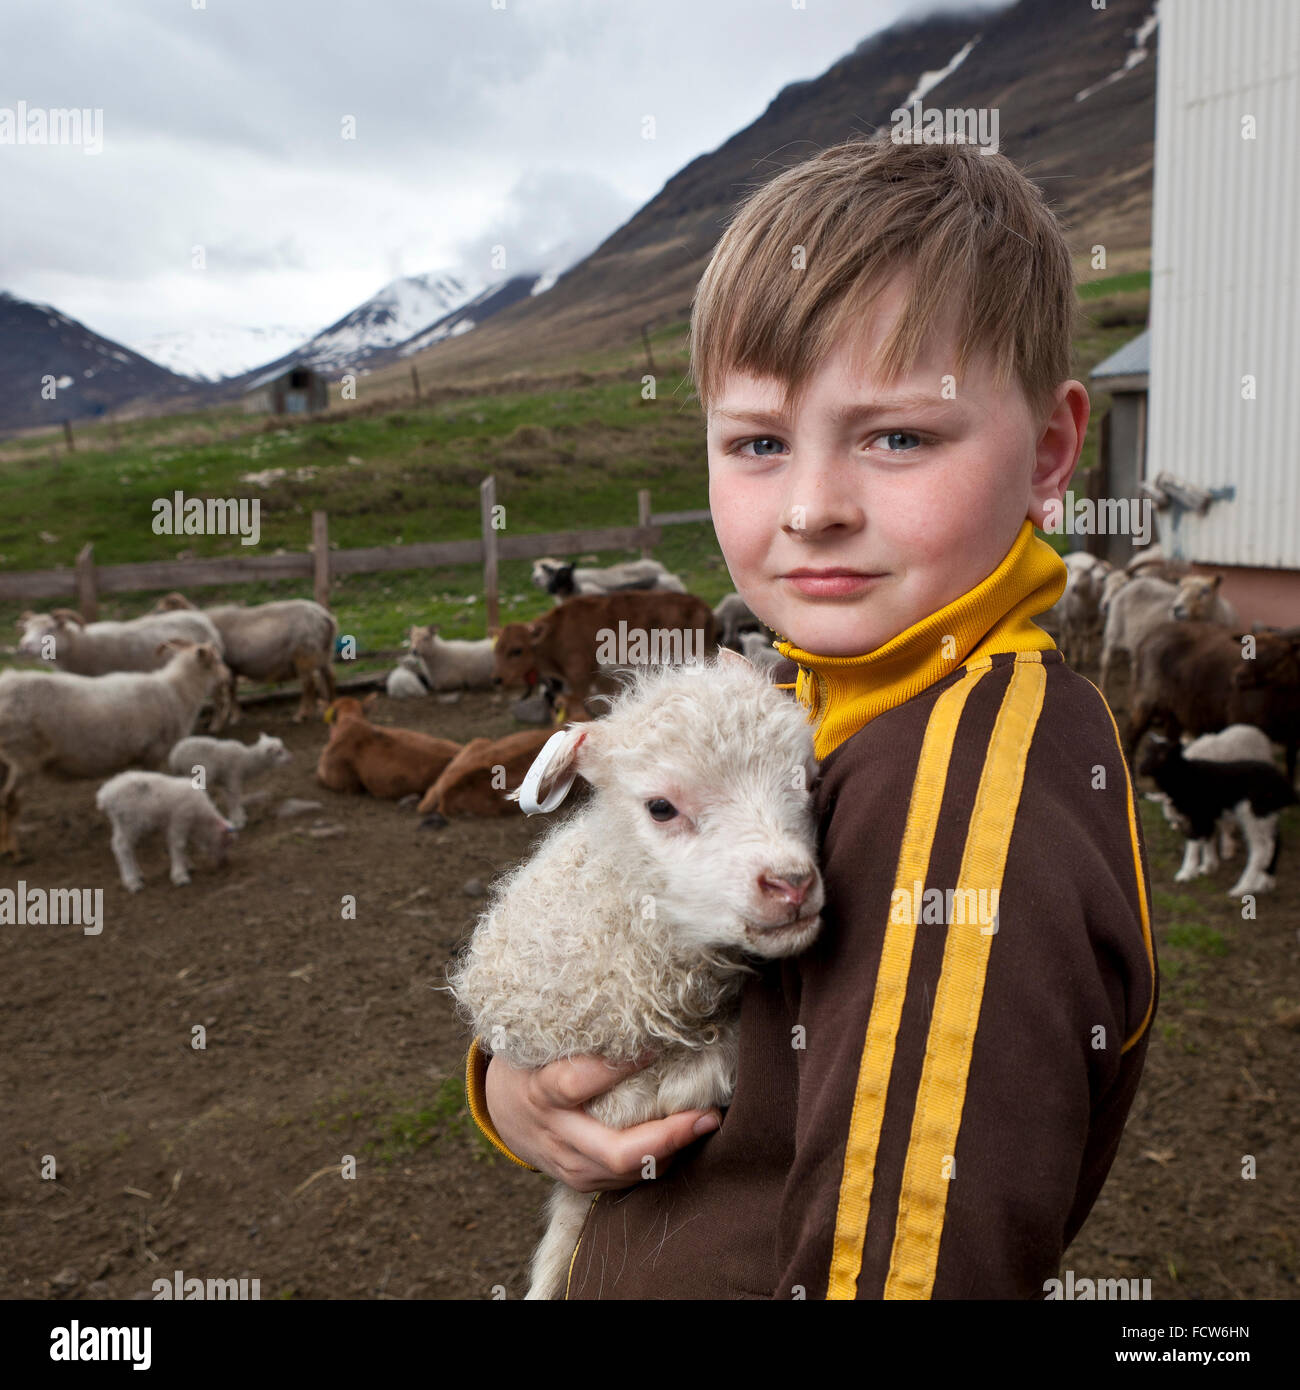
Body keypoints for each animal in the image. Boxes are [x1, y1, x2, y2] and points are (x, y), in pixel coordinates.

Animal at [0, 641, 230, 861]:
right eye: (217, 660)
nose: (228, 676)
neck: (178, 692)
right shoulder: (153, 753)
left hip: (9, 760)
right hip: (24, 757)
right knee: (11, 800)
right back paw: (14, 851)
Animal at [96, 771, 235, 892]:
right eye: (226, 842)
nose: (225, 863)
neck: (199, 819)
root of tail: (105, 794)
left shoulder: (170, 825)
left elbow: (175, 844)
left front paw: (187, 865)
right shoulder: (180, 819)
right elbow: (179, 845)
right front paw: (180, 876)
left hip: (121, 824)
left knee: (127, 847)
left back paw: (138, 874)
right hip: (129, 822)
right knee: (122, 847)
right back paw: (132, 882)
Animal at [154, 594, 336, 728]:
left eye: (161, 611)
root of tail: (325, 616)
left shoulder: (226, 665)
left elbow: (229, 690)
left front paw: (233, 717)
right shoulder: (232, 667)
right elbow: (232, 690)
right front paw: (235, 715)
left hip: (304, 655)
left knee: (308, 684)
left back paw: (301, 715)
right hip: (323, 653)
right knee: (328, 677)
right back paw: (329, 707)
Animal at [1099, 573, 1239, 703]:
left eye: (1205, 590)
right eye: (1180, 588)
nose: (1176, 608)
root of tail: (1135, 582)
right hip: (1113, 631)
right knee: (1106, 663)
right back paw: (1104, 692)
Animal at [1137, 734, 1296, 897]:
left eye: (1162, 755)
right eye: (1147, 751)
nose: (1141, 769)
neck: (1185, 774)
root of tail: (1283, 785)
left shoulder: (1198, 814)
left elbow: (1193, 841)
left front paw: (1186, 872)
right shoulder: (1207, 815)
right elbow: (1208, 837)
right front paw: (1208, 866)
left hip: (1253, 814)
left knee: (1261, 850)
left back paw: (1243, 887)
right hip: (1268, 815)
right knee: (1275, 843)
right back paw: (1265, 882)